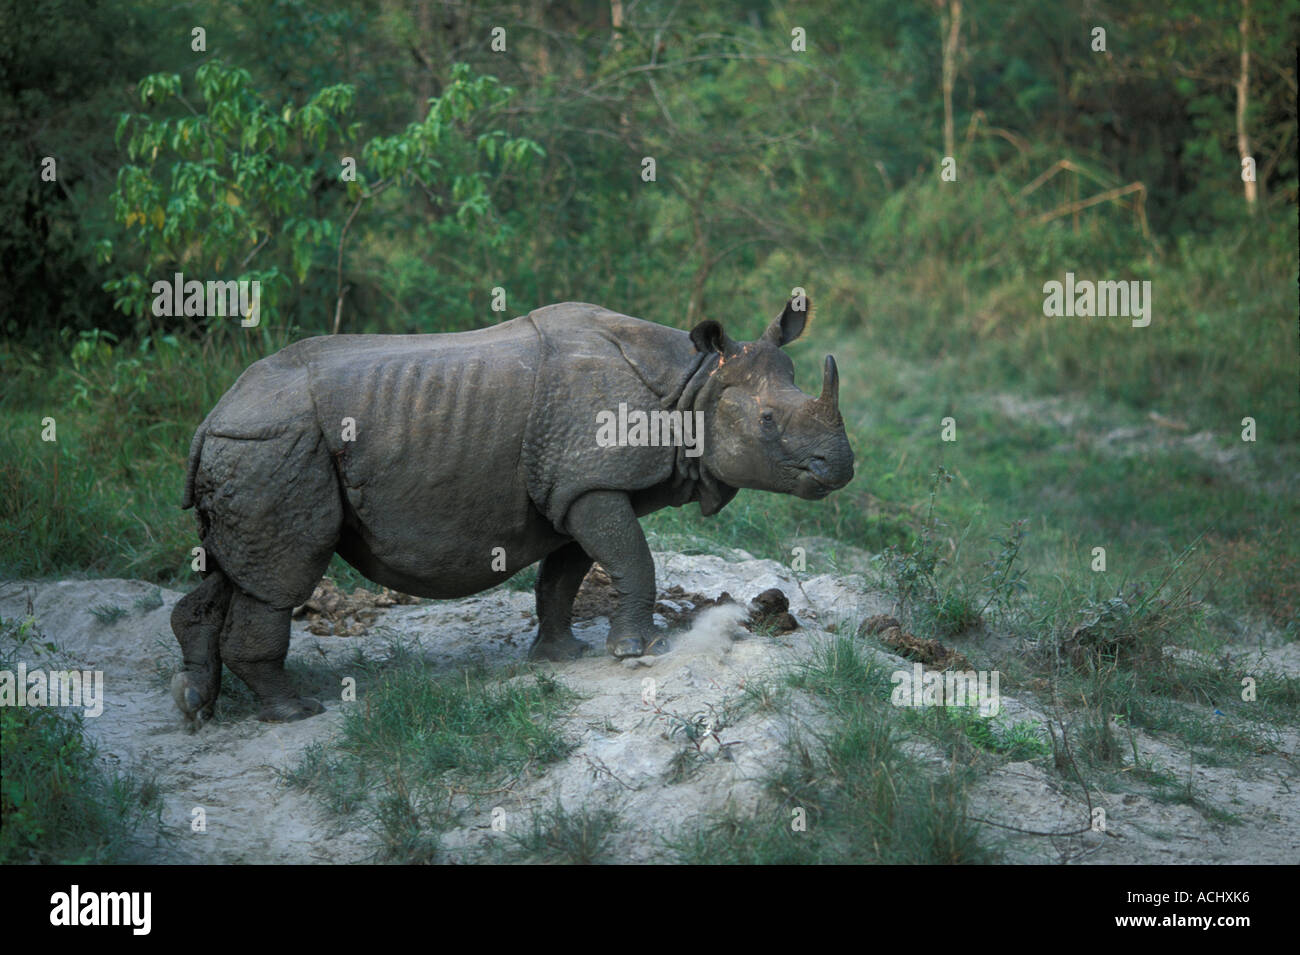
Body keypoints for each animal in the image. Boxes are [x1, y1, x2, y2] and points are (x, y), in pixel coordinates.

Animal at [170, 298, 854, 723]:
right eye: (768, 423)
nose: (841, 467)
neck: (693, 384)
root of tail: (213, 415)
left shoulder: (576, 484)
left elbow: (566, 575)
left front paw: (561, 656)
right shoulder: (590, 480)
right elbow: (633, 559)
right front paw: (638, 652)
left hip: (251, 446)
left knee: (236, 570)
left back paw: (195, 705)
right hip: (276, 443)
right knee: (280, 576)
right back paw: (294, 712)